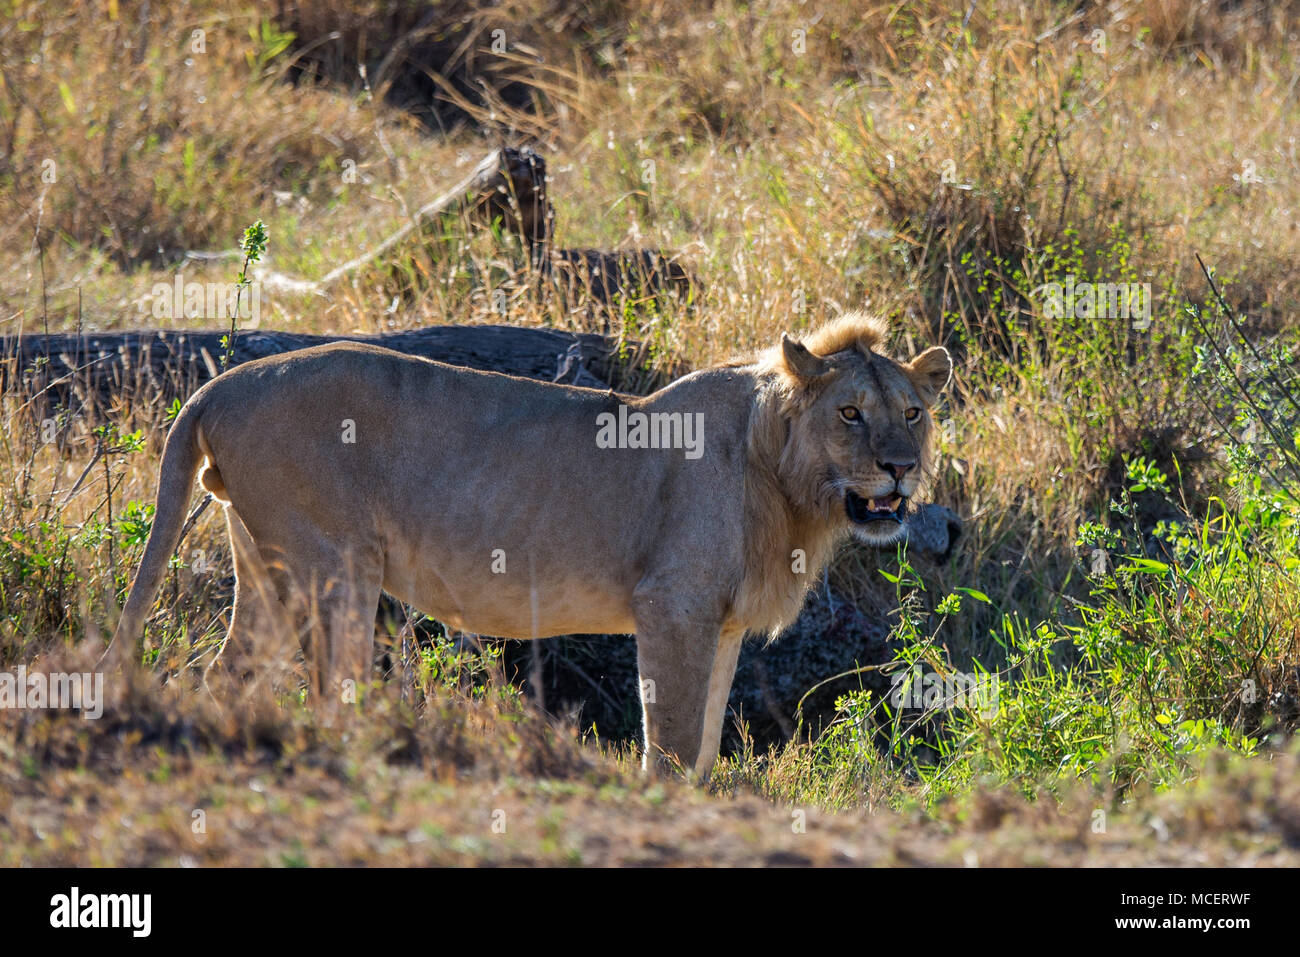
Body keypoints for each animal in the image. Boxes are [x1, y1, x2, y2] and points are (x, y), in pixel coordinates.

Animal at [108, 312, 952, 777]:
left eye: (913, 412)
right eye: (850, 413)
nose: (901, 468)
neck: (783, 477)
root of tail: (218, 385)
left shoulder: (722, 624)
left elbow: (708, 740)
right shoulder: (673, 605)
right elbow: (674, 742)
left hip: (263, 562)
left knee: (226, 673)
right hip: (337, 565)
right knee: (325, 688)